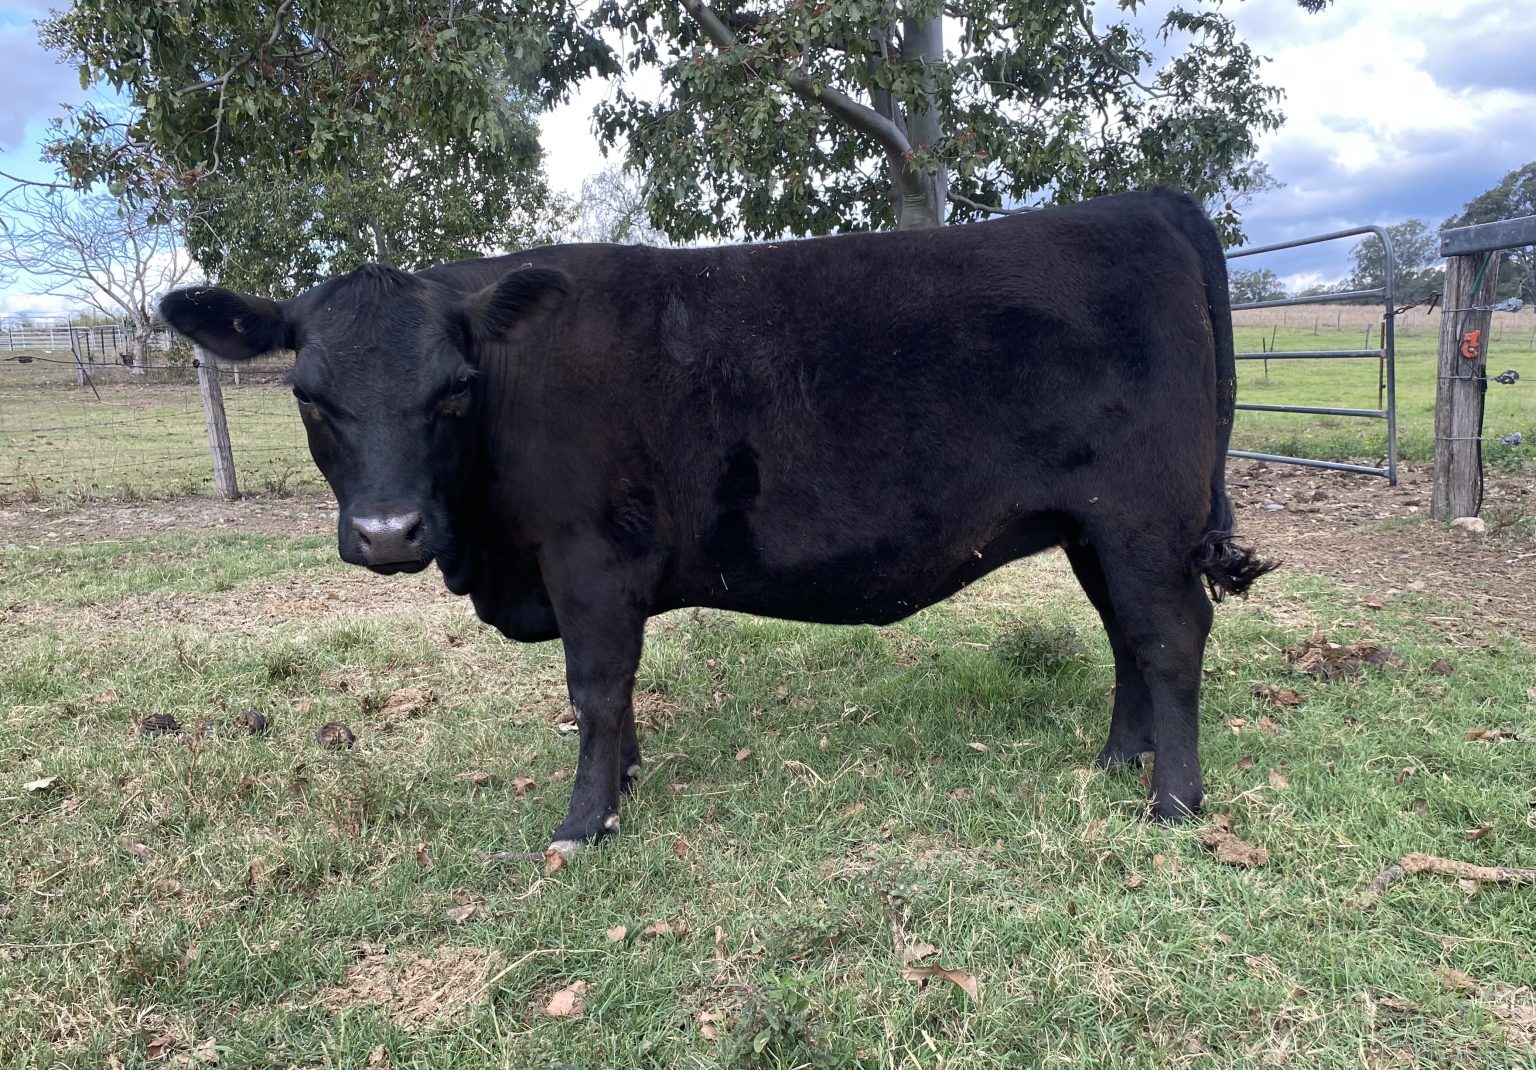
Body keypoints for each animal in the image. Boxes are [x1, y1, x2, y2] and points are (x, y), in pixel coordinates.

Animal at [160, 188, 1272, 856]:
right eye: (308, 396)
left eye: (454, 389)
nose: (388, 531)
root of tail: (1143, 202)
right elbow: (612, 698)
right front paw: (625, 779)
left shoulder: (591, 557)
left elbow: (596, 687)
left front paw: (585, 819)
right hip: (1092, 527)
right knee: (1128, 637)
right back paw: (1118, 758)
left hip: (1141, 518)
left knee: (1170, 636)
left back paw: (1173, 802)